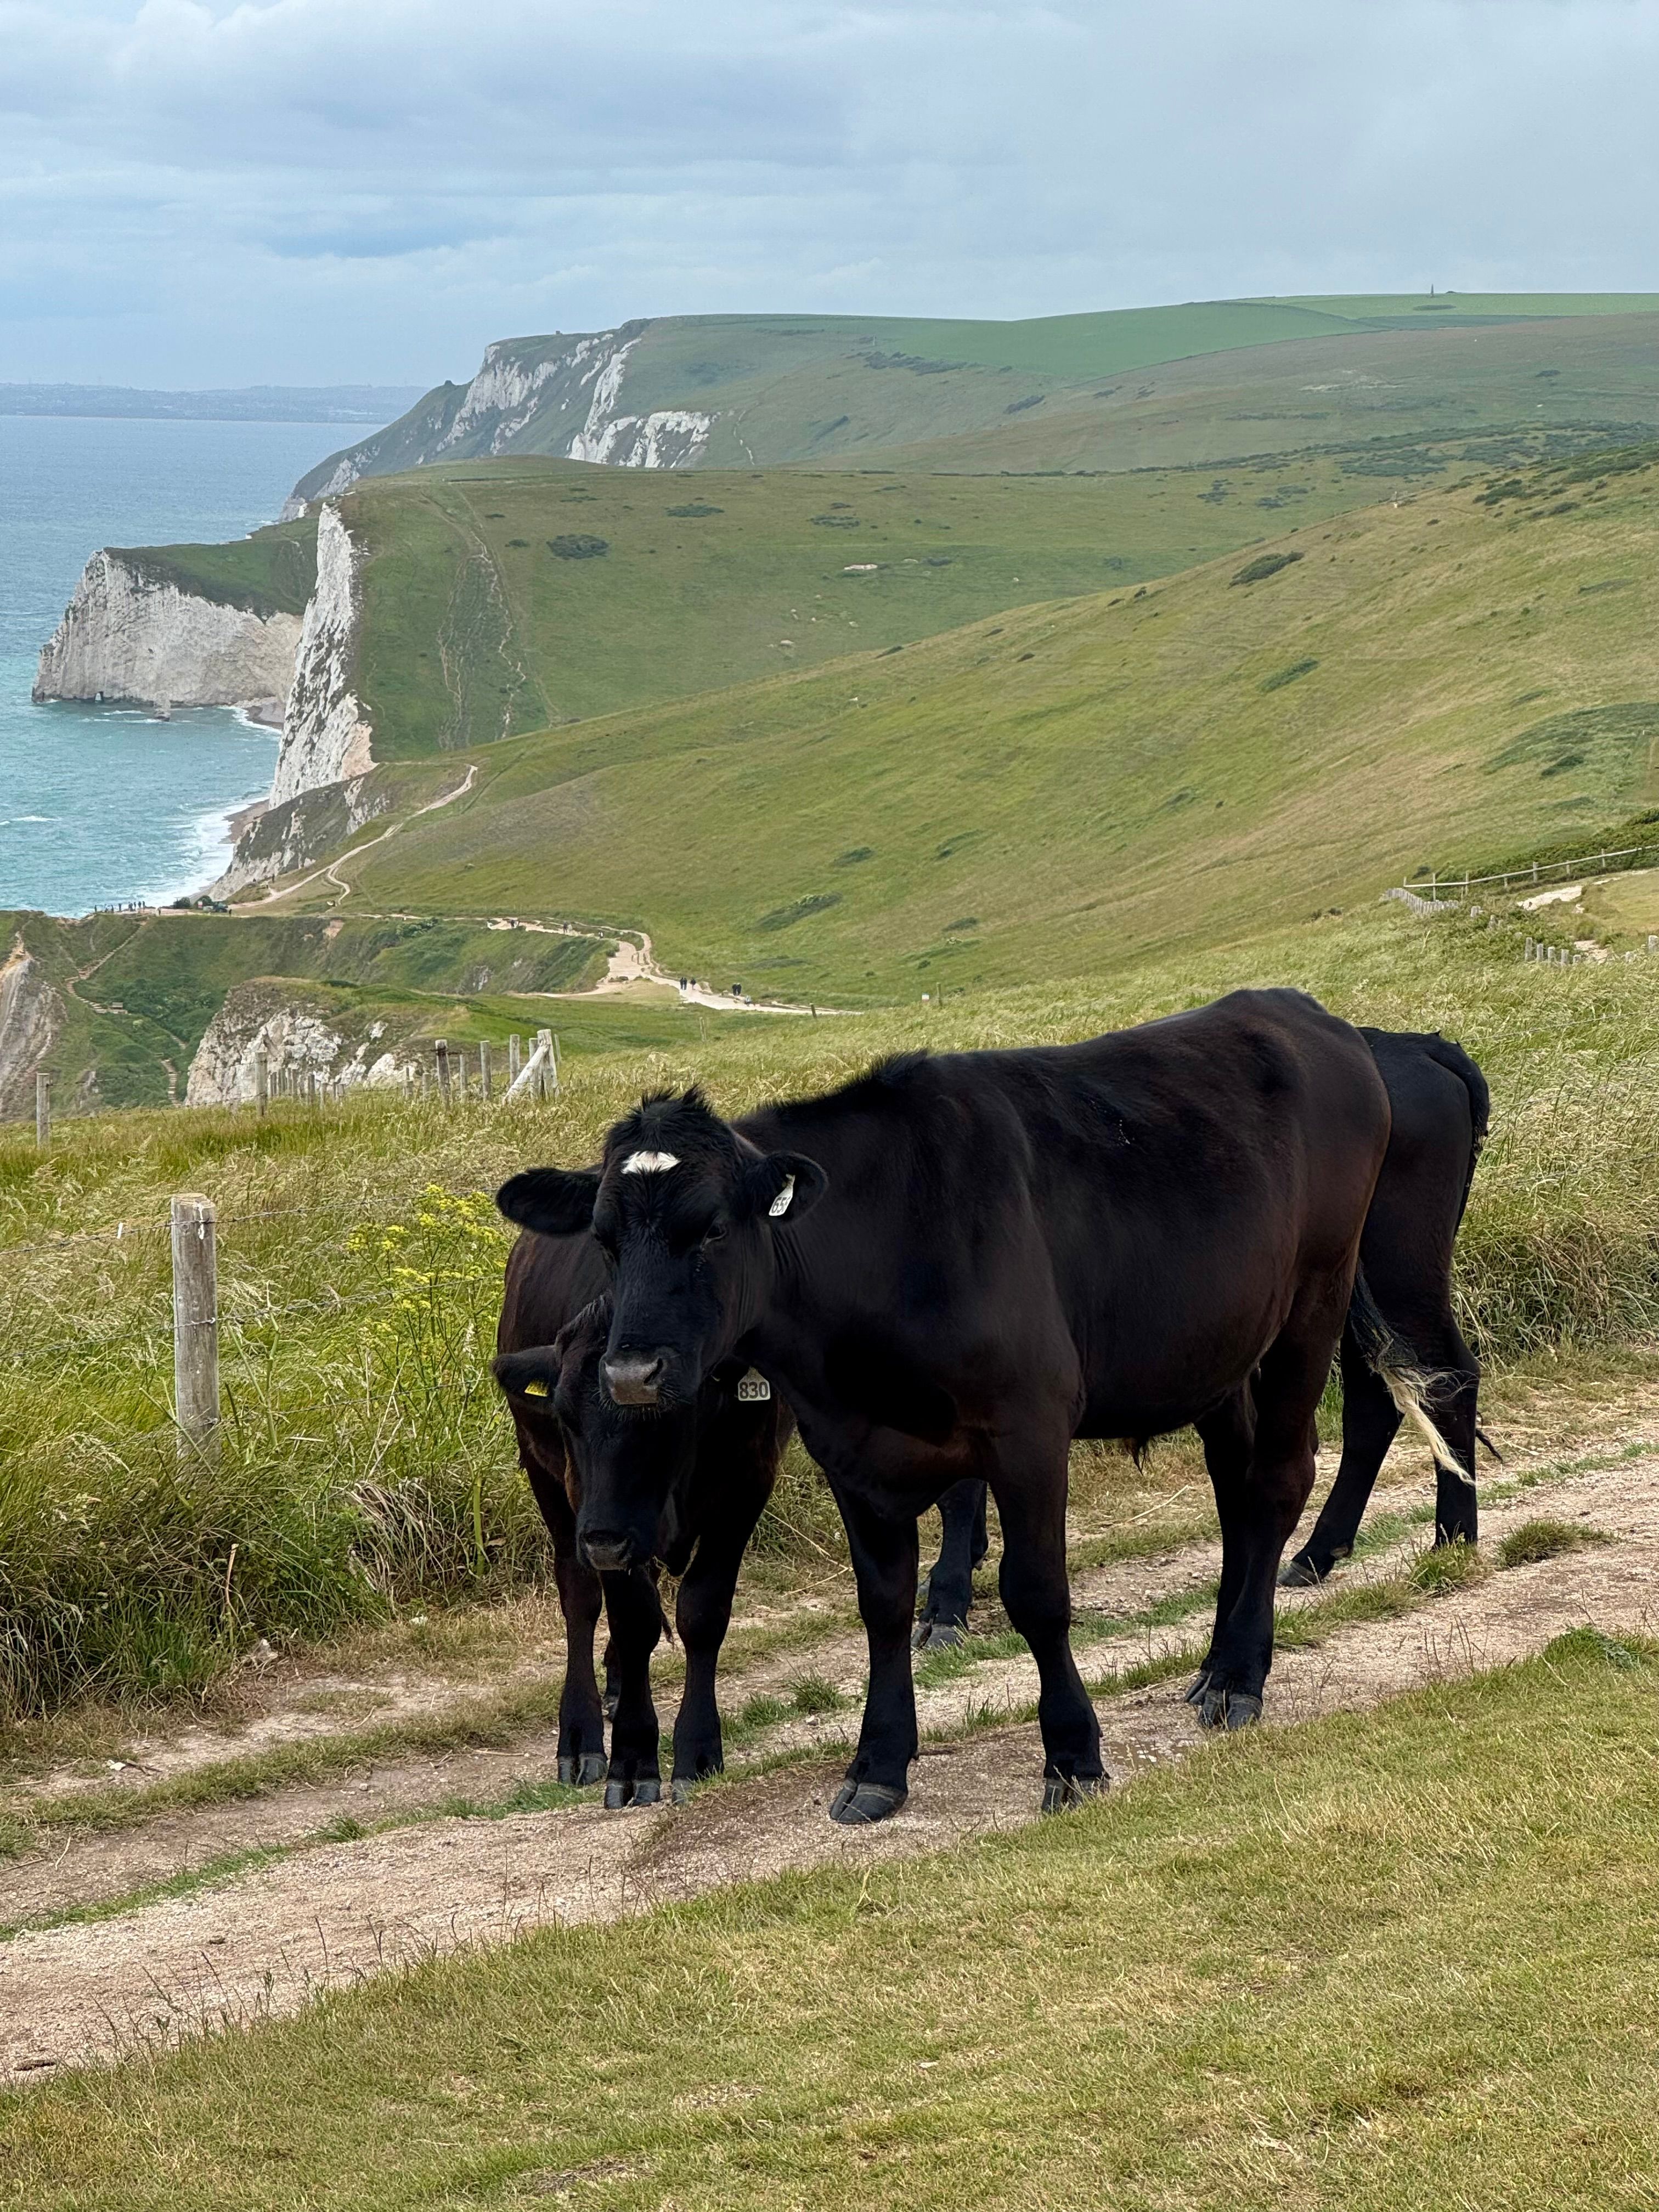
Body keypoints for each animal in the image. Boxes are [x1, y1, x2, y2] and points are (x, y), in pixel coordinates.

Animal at [493, 1228, 789, 1806]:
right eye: (566, 1416)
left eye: (666, 1411)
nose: (603, 1538)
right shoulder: (590, 1508)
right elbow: (634, 1622)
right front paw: (631, 1758)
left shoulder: (747, 1487)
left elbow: (702, 1613)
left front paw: (698, 1751)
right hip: (551, 1486)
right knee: (580, 1600)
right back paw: (581, 1735)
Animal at [912, 1026, 1492, 1641]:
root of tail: (1416, 1044)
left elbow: (960, 1491)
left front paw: (946, 1602)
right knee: (1377, 1399)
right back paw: (1320, 1552)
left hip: (1399, 1269)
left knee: (1447, 1373)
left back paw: (1452, 1539)